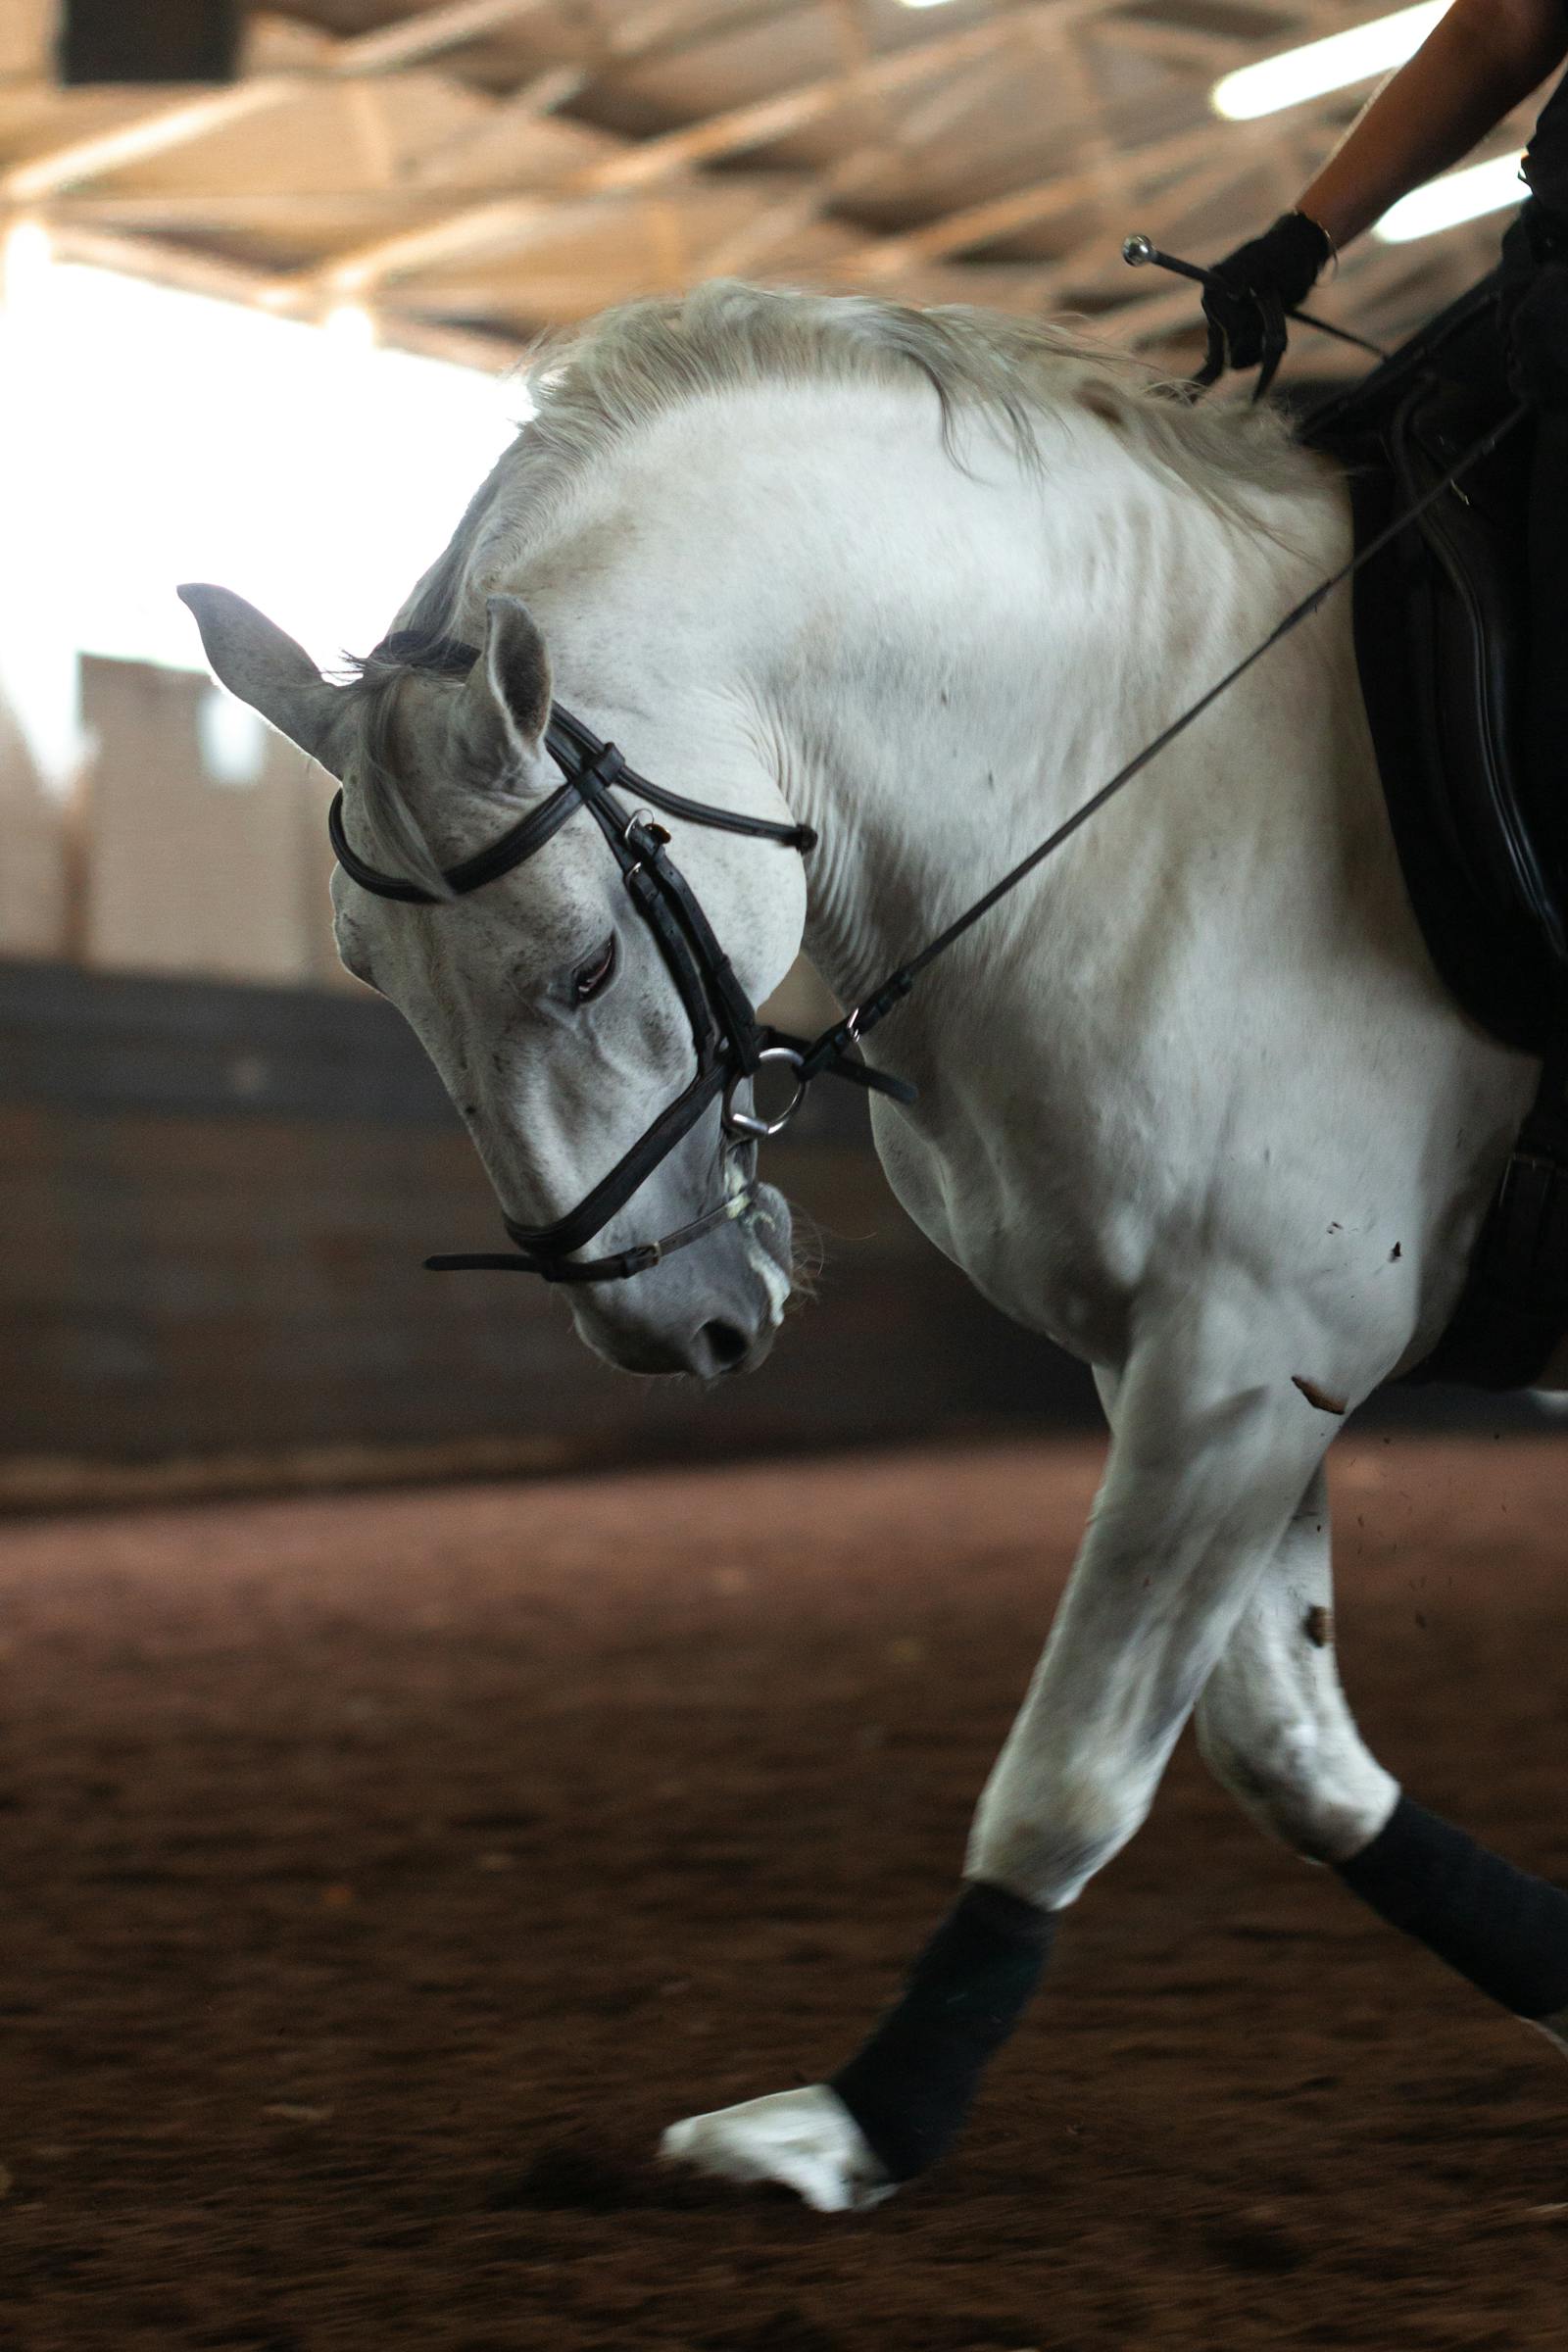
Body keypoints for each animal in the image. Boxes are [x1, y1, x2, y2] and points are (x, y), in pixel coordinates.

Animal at [180, 279, 1568, 2215]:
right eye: (370, 979)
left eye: (587, 965)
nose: (668, 1327)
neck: (1157, 785)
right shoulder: (1215, 1364)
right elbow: (1290, 1754)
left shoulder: (1239, 1354)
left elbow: (1072, 1775)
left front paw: (856, 2123)